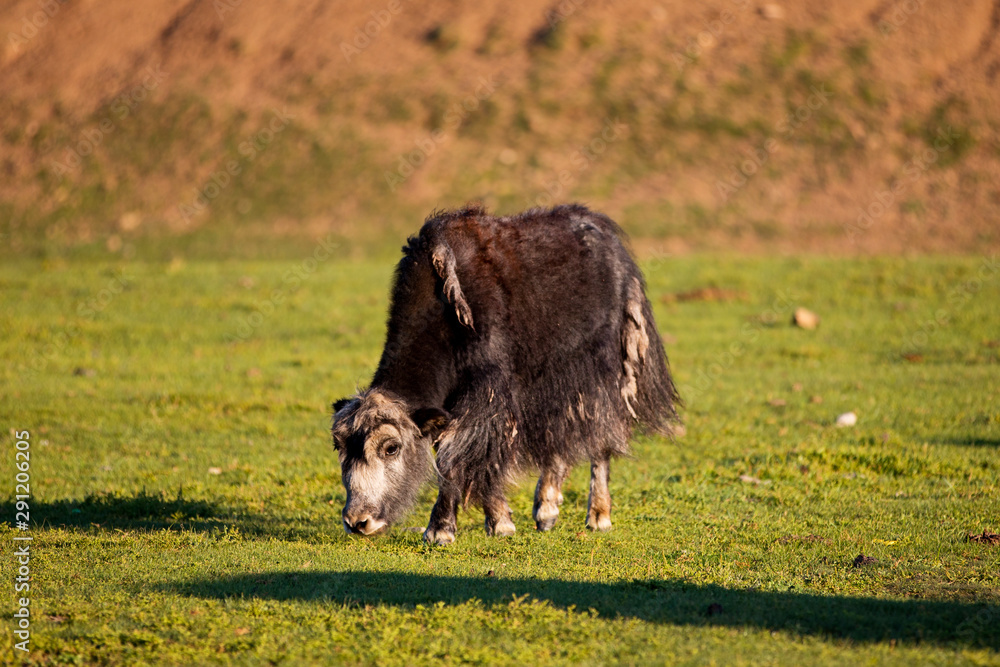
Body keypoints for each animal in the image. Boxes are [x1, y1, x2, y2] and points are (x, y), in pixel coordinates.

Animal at [331, 204, 681, 544]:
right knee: (557, 438)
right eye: (339, 446)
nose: (357, 522)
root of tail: (611, 241)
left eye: (391, 448)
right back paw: (546, 511)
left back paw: (597, 516)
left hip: (601, 371)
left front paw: (441, 530)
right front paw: (499, 521)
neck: (444, 314)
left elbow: (457, 457)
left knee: (600, 438)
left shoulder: (486, 397)